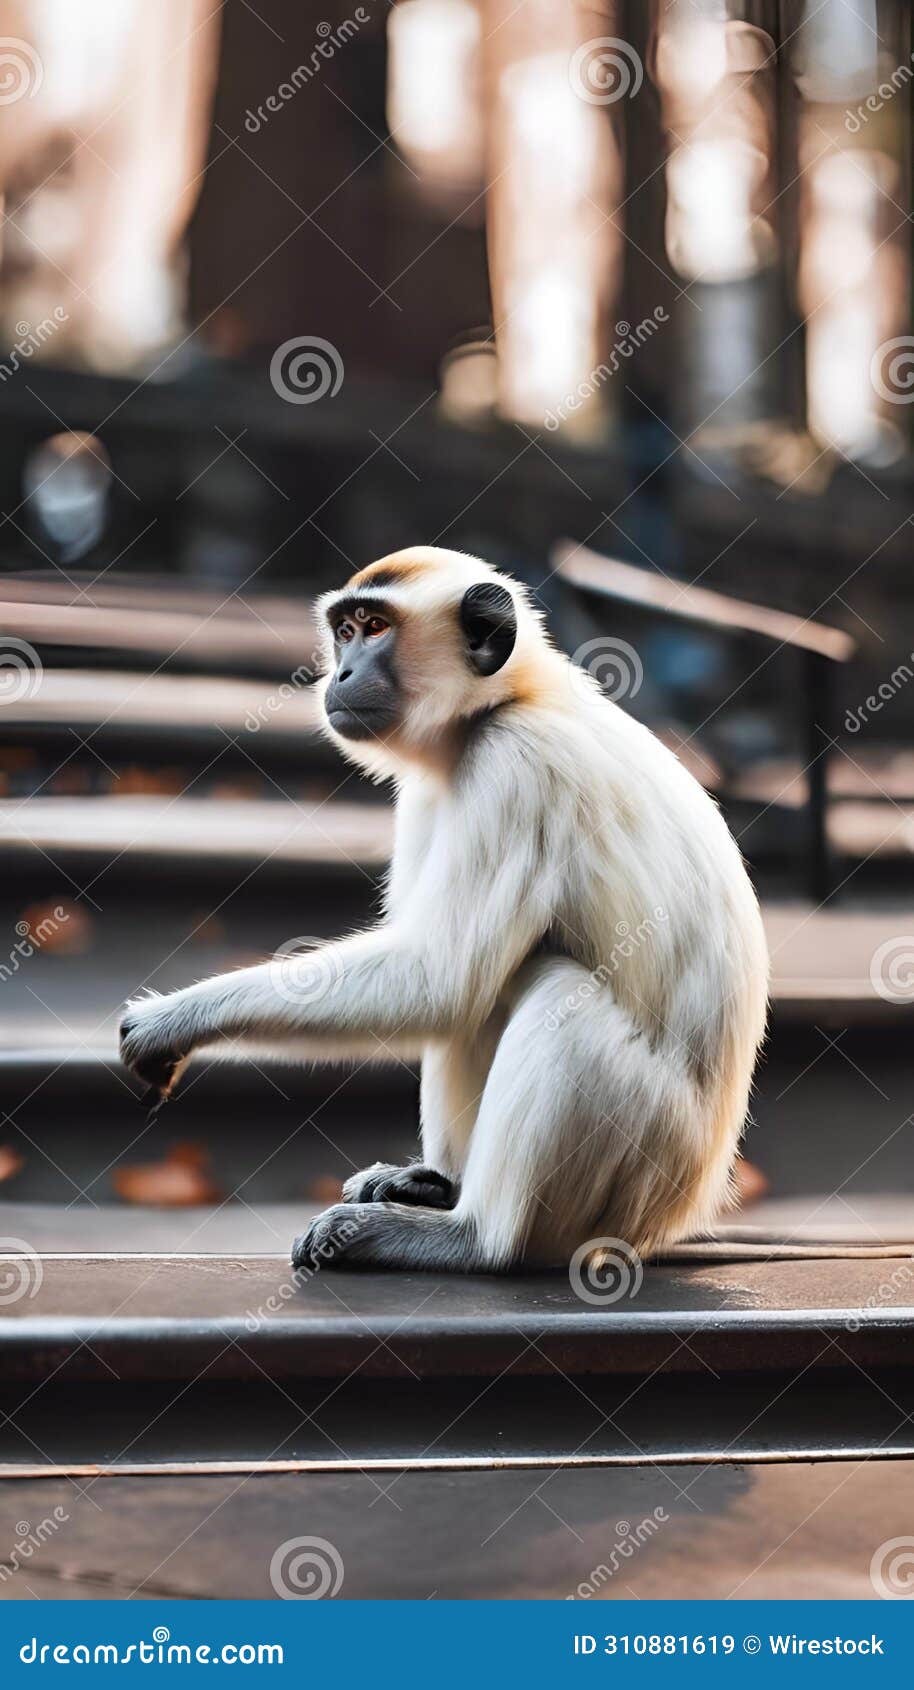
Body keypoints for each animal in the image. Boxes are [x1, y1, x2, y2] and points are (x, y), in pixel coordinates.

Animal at [119, 545, 768, 1274]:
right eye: (345, 631)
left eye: (375, 627)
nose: (340, 673)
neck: (515, 698)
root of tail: (681, 1210)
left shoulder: (513, 762)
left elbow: (441, 977)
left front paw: (174, 1019)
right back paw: (437, 1186)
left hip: (640, 1165)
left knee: (548, 987)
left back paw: (470, 1238)